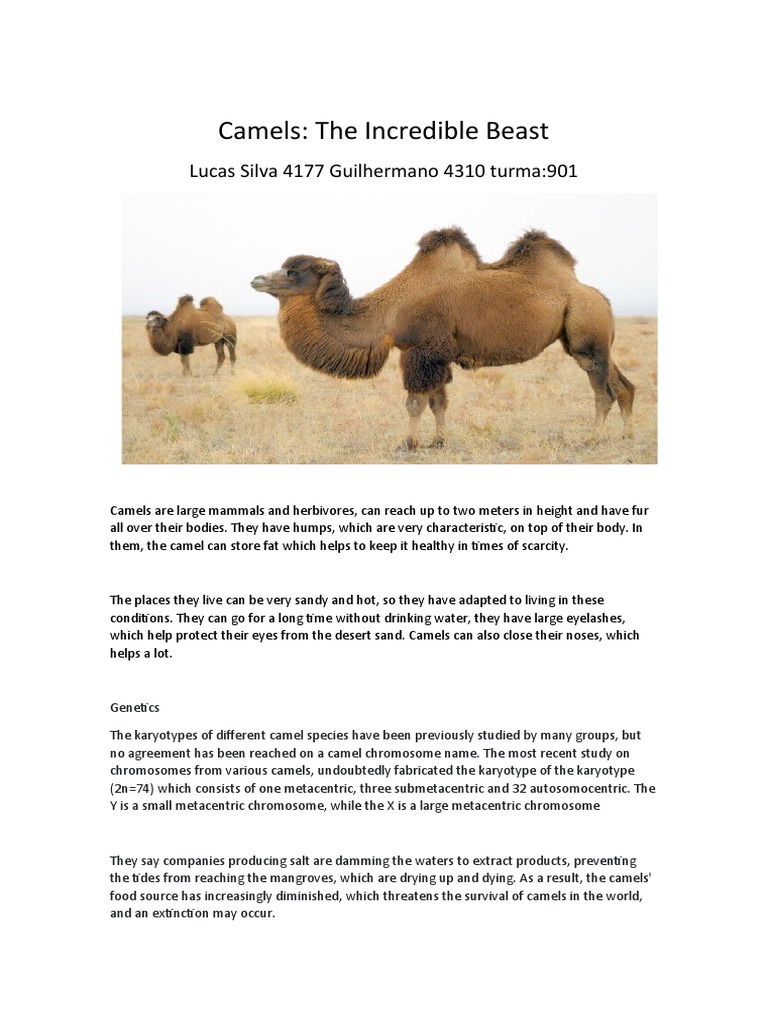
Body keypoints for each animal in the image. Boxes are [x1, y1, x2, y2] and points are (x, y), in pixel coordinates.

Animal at [250, 229, 634, 448]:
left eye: (292, 271)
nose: (256, 278)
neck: (389, 313)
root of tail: (602, 298)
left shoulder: (422, 349)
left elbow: (416, 402)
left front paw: (407, 444)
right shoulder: (435, 354)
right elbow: (438, 402)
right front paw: (438, 441)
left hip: (586, 334)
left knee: (602, 389)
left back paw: (591, 440)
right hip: (591, 339)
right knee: (624, 385)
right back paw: (626, 436)